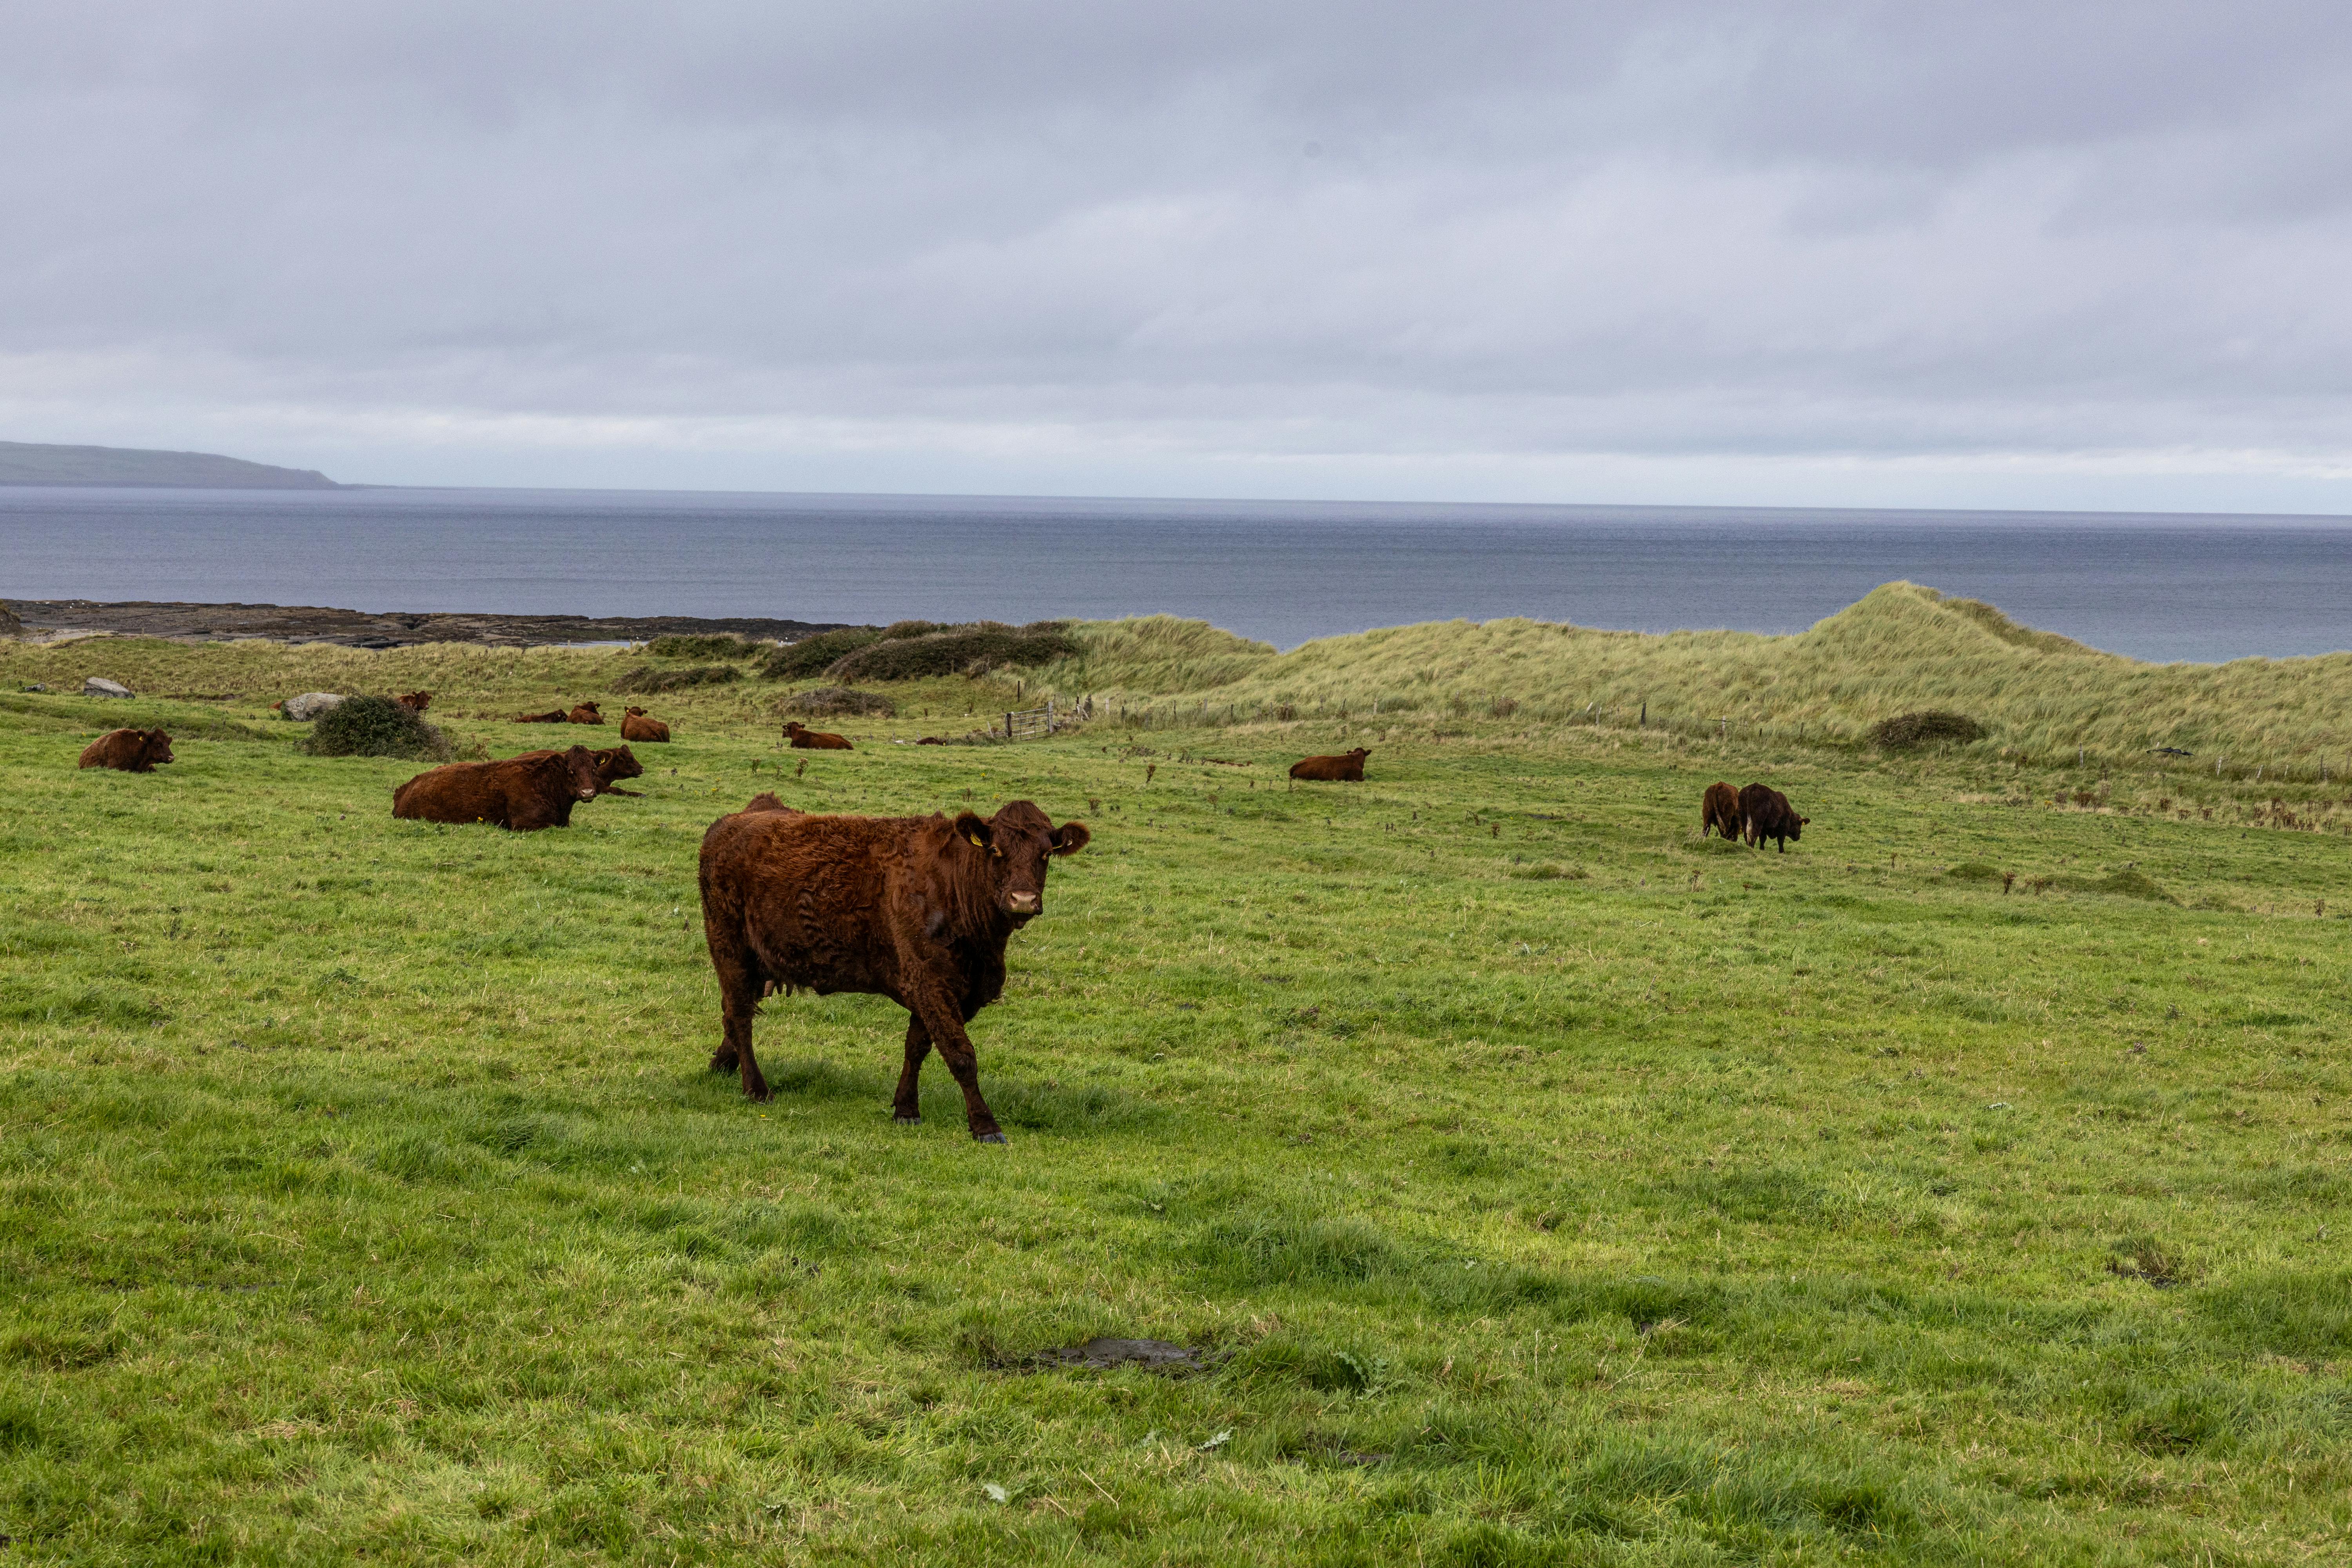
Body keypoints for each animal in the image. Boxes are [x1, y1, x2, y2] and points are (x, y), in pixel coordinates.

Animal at [697, 800, 1091, 1142]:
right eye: (995, 851)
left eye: (1045, 854)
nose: (1023, 900)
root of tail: (738, 818)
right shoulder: (929, 980)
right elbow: (961, 1055)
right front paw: (985, 1126)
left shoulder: (947, 987)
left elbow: (917, 1047)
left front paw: (906, 1109)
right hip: (729, 946)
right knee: (740, 1016)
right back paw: (756, 1089)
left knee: (735, 1013)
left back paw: (721, 1065)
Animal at [1700, 781, 1742, 841]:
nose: (1734, 840)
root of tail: (1720, 785)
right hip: (1726, 817)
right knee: (1724, 832)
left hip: (1707, 815)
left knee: (1706, 829)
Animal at [1738, 783, 1809, 852]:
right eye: (1799, 825)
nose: (1799, 837)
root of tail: (1754, 786)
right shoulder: (1783, 827)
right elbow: (1781, 841)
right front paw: (1782, 852)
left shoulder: (1764, 828)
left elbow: (1763, 839)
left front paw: (1762, 849)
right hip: (1757, 820)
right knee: (1754, 833)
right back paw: (1751, 847)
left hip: (1744, 818)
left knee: (1746, 833)